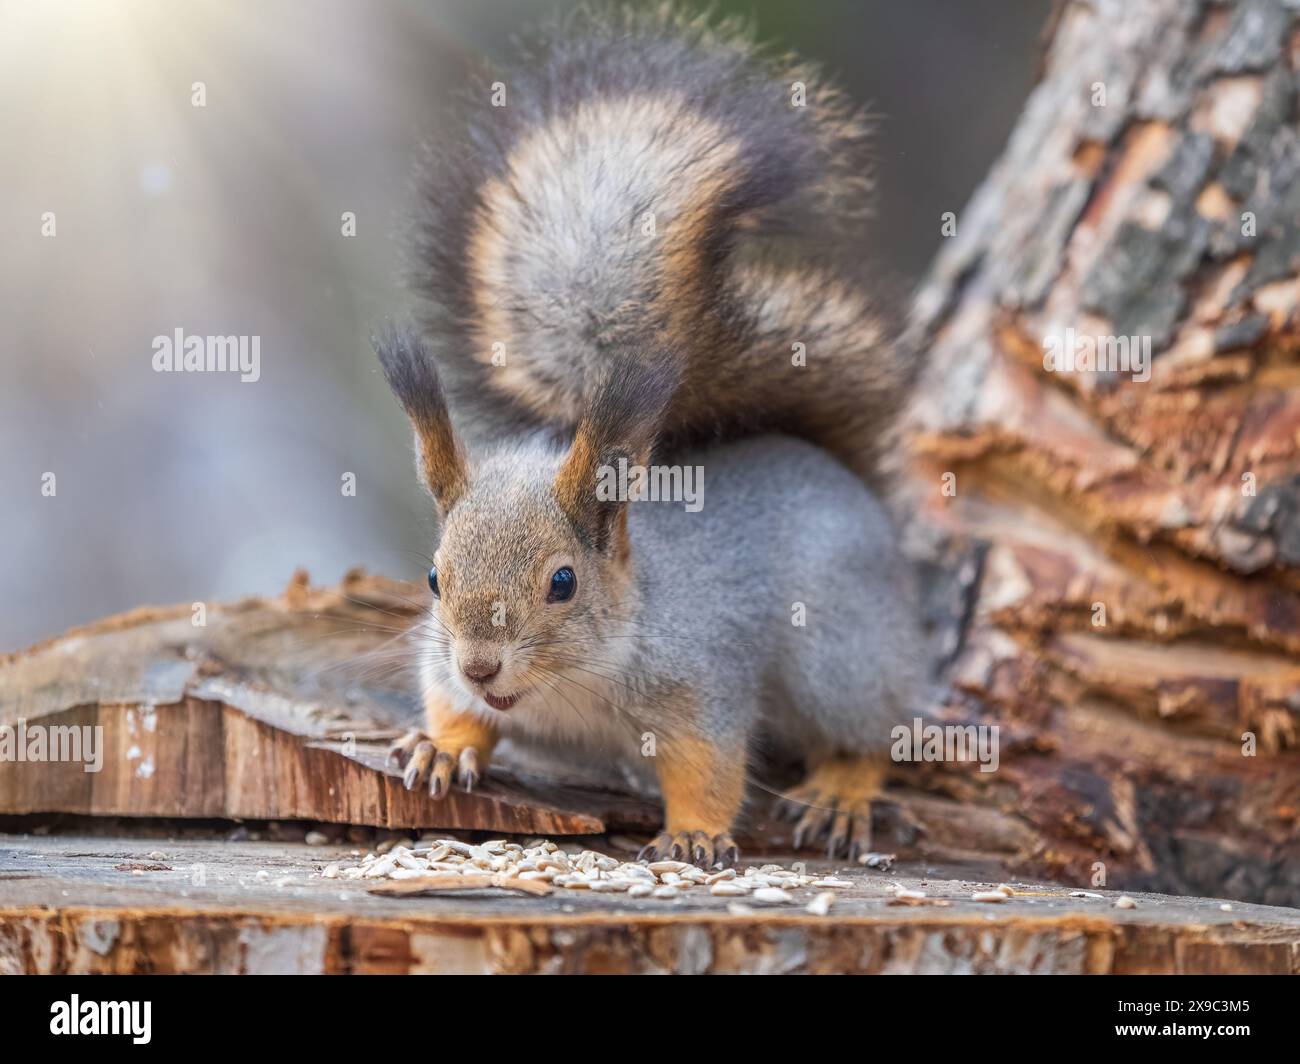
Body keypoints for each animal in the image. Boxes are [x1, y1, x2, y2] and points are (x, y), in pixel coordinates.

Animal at [377, 5, 924, 866]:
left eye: (563, 582)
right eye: (433, 578)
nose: (481, 664)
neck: (564, 686)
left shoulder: (700, 683)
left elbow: (710, 765)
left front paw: (694, 834)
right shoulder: (445, 663)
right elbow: (454, 704)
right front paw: (443, 746)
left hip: (842, 650)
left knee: (871, 730)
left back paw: (842, 791)